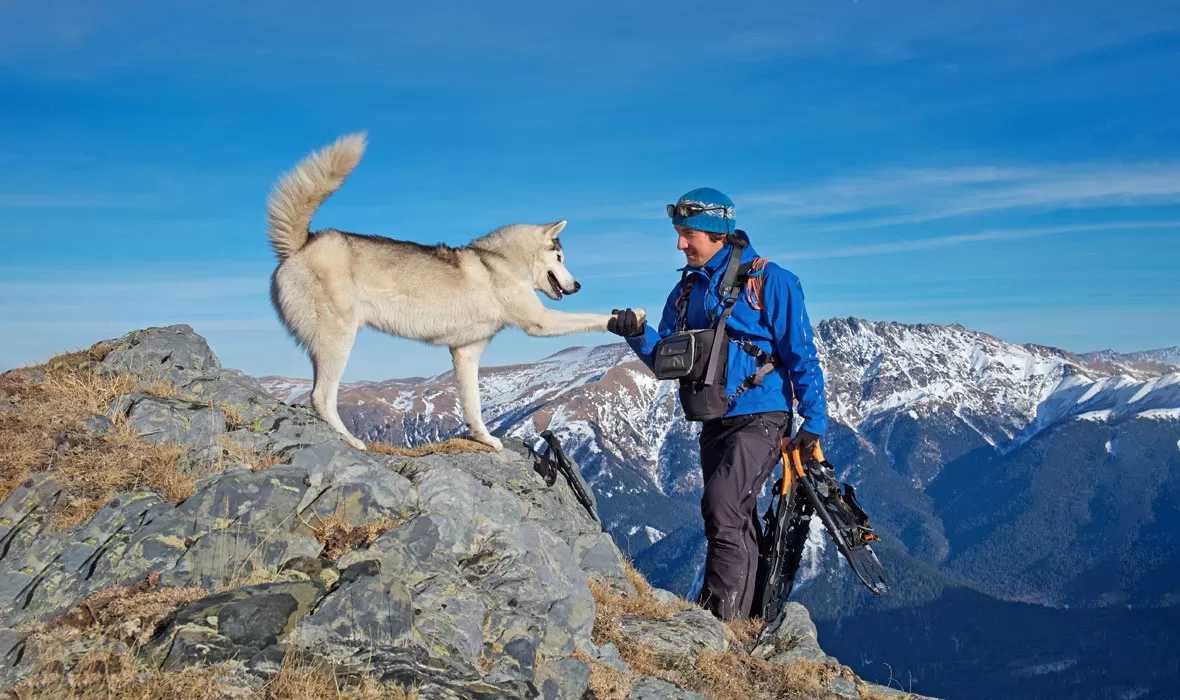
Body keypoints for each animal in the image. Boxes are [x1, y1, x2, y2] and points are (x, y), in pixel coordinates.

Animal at [266, 133, 641, 450]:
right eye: (561, 258)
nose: (577, 285)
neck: (501, 261)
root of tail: (304, 243)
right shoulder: (540, 322)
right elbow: (589, 317)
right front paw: (628, 317)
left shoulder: (466, 352)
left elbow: (473, 405)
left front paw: (484, 438)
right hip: (340, 339)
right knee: (321, 397)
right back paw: (352, 441)